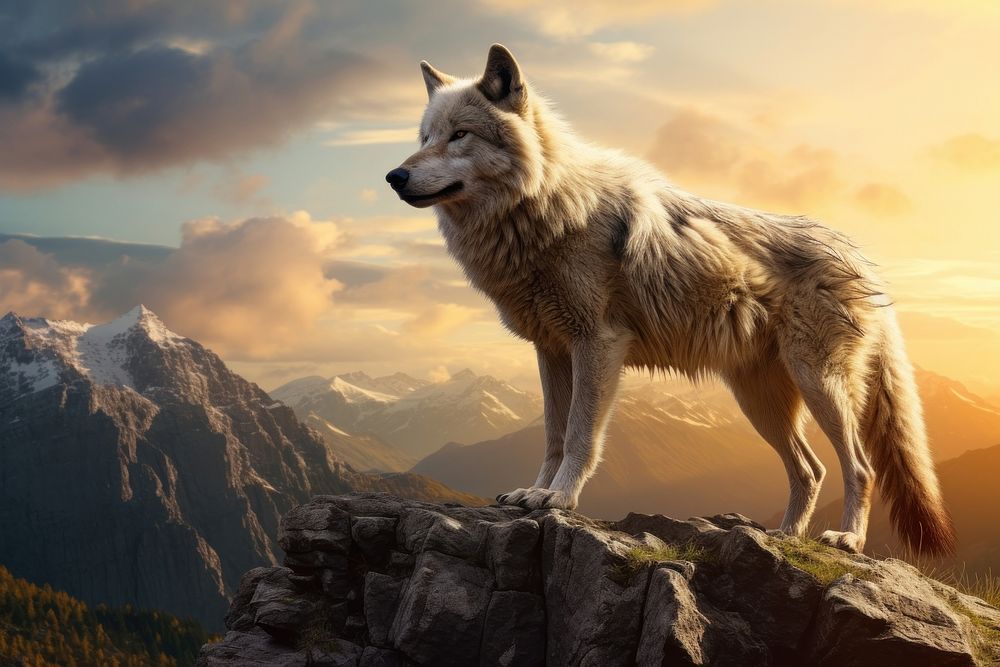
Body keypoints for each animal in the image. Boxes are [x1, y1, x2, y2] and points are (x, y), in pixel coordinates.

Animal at [385, 44, 955, 555]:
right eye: (424, 137)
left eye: (460, 134)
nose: (394, 175)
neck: (547, 208)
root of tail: (859, 254)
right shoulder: (550, 350)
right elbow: (553, 436)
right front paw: (535, 492)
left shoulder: (598, 344)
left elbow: (580, 435)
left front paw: (559, 499)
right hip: (761, 402)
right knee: (810, 470)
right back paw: (785, 538)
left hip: (818, 384)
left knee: (859, 466)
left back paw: (846, 540)